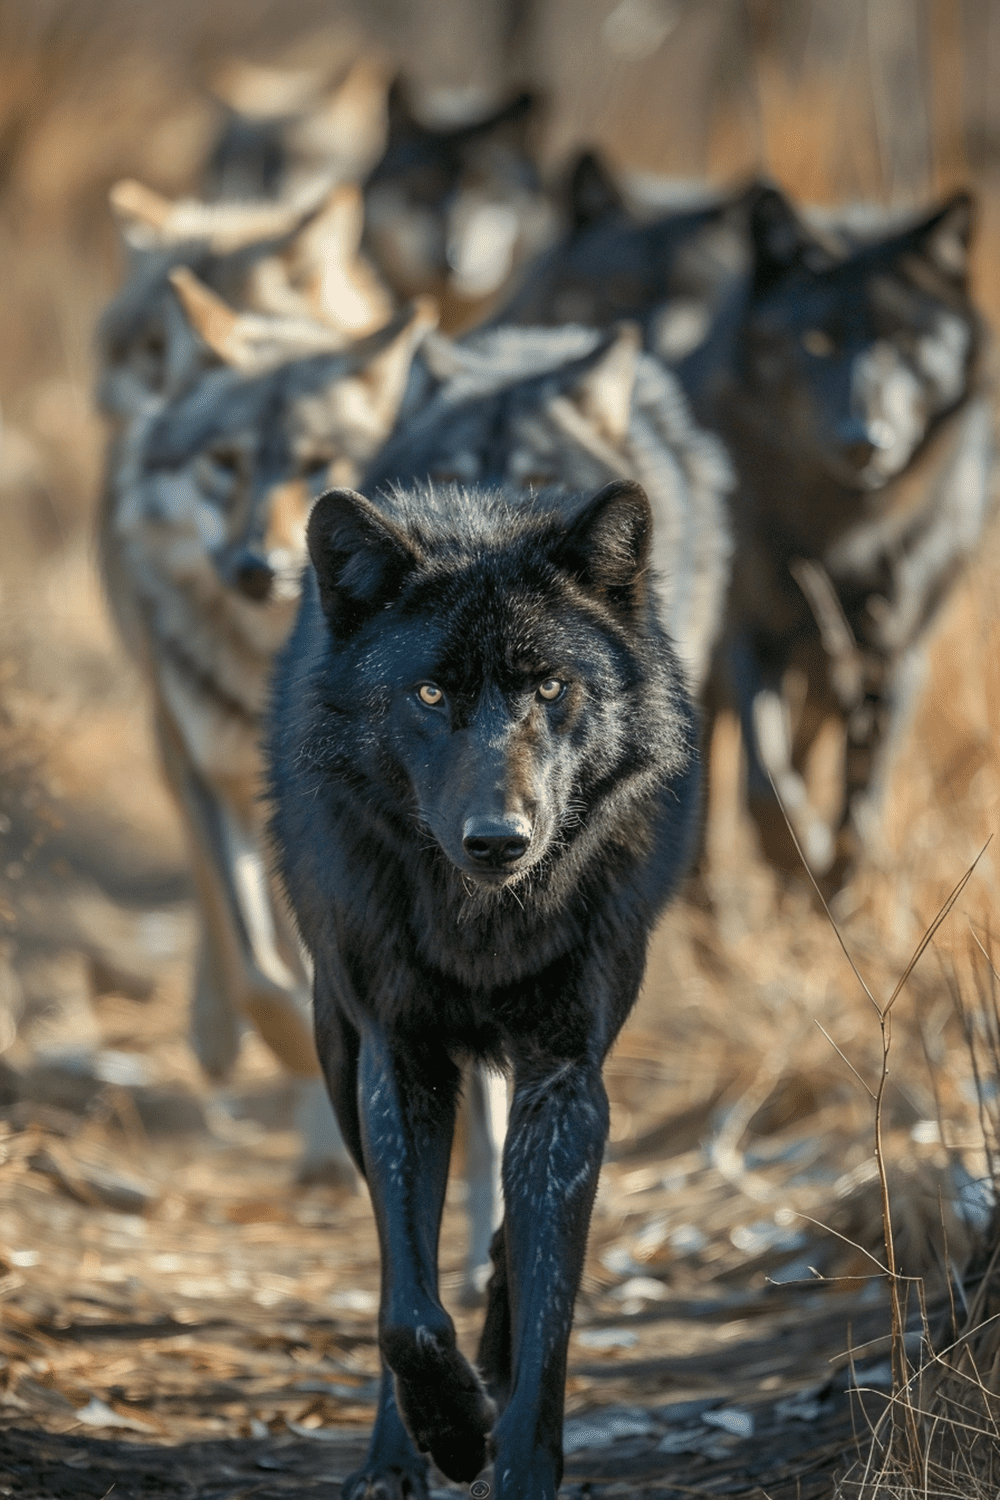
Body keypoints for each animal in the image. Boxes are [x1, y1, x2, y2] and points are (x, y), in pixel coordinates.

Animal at [267, 476, 701, 1500]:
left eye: (550, 687)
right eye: (430, 693)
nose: (499, 840)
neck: (483, 930)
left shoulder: (565, 1076)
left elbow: (550, 1311)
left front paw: (518, 1457)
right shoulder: (399, 1060)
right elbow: (407, 1308)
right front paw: (454, 1431)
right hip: (337, 1053)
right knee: (402, 1270)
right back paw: (398, 1456)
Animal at [681, 185, 993, 880]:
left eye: (907, 341)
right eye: (819, 342)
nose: (865, 442)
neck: (840, 536)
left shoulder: (893, 656)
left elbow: (862, 799)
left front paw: (834, 875)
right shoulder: (752, 636)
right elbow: (766, 783)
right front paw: (798, 855)